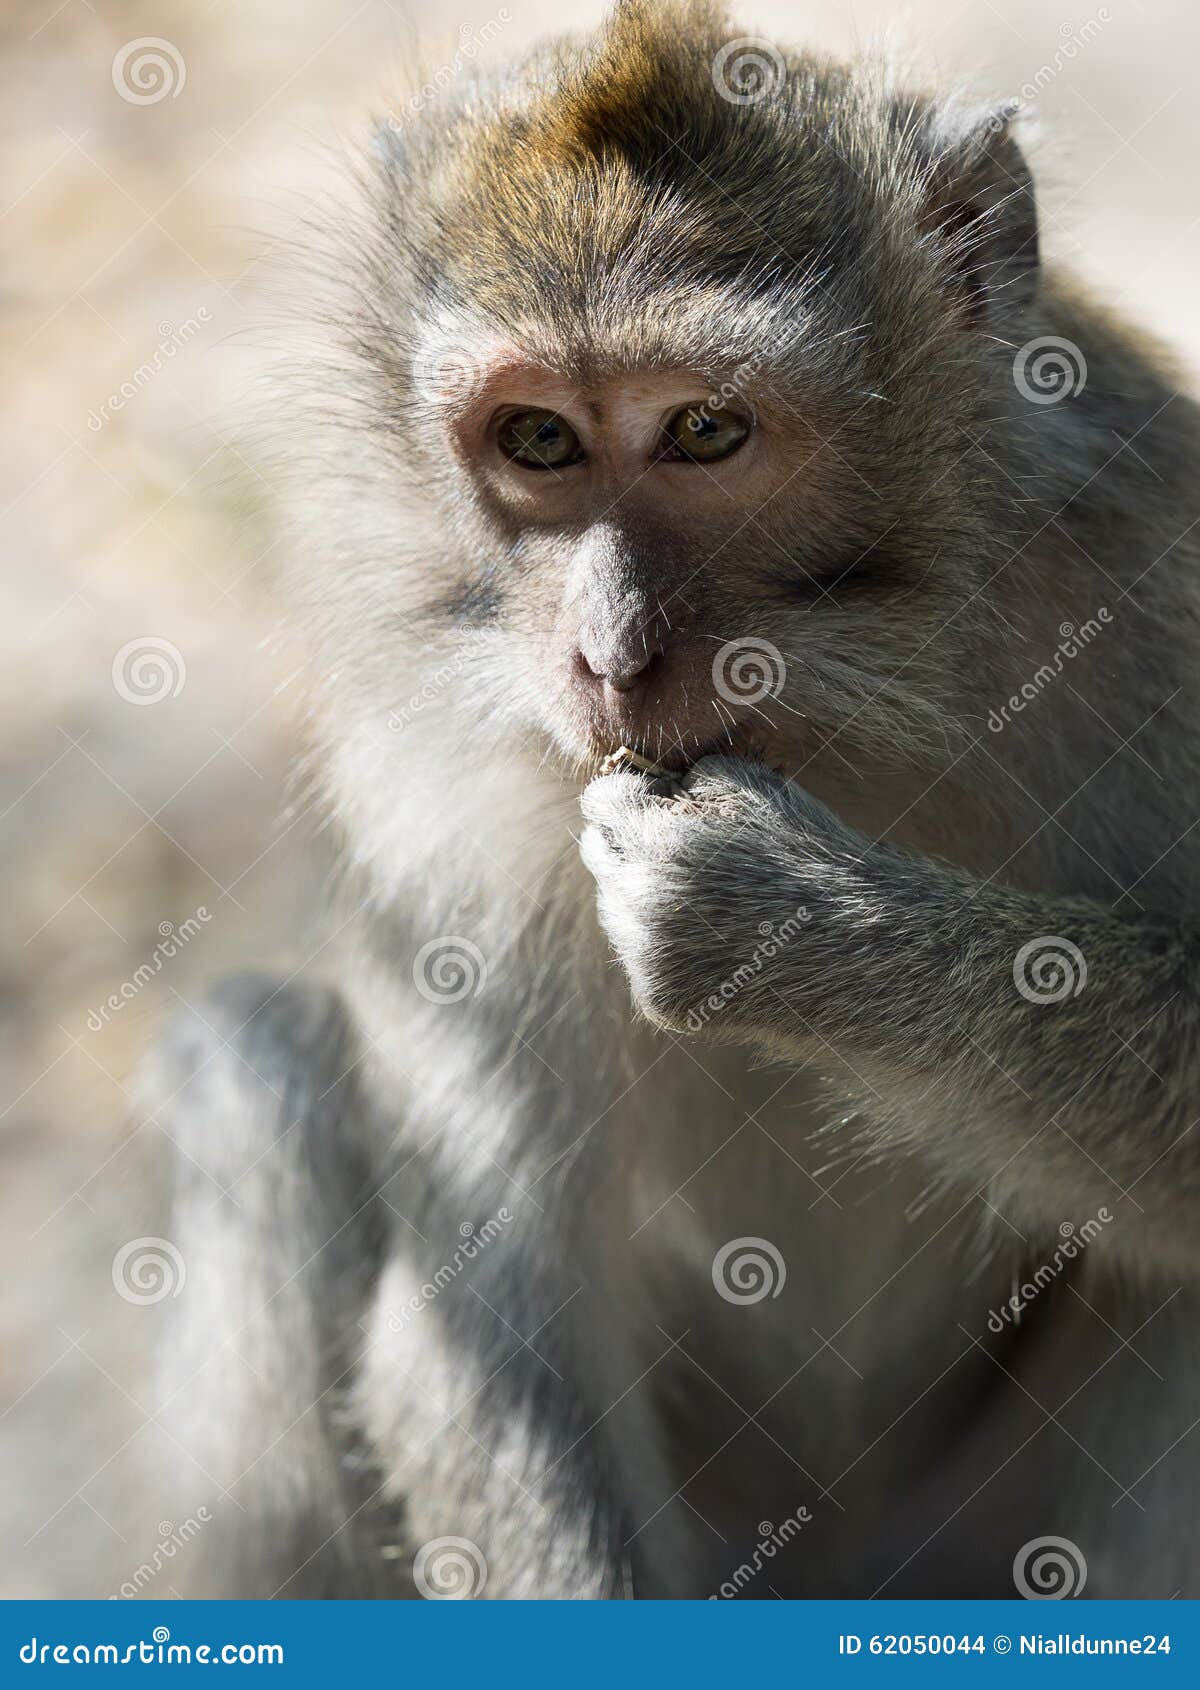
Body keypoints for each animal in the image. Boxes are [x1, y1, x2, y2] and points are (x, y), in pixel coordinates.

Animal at [150, 0, 1200, 1600]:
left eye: (706, 431)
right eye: (538, 440)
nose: (609, 652)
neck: (840, 704)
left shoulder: (1152, 586)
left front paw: (786, 916)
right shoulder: (435, 775)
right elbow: (499, 1323)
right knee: (252, 1065)